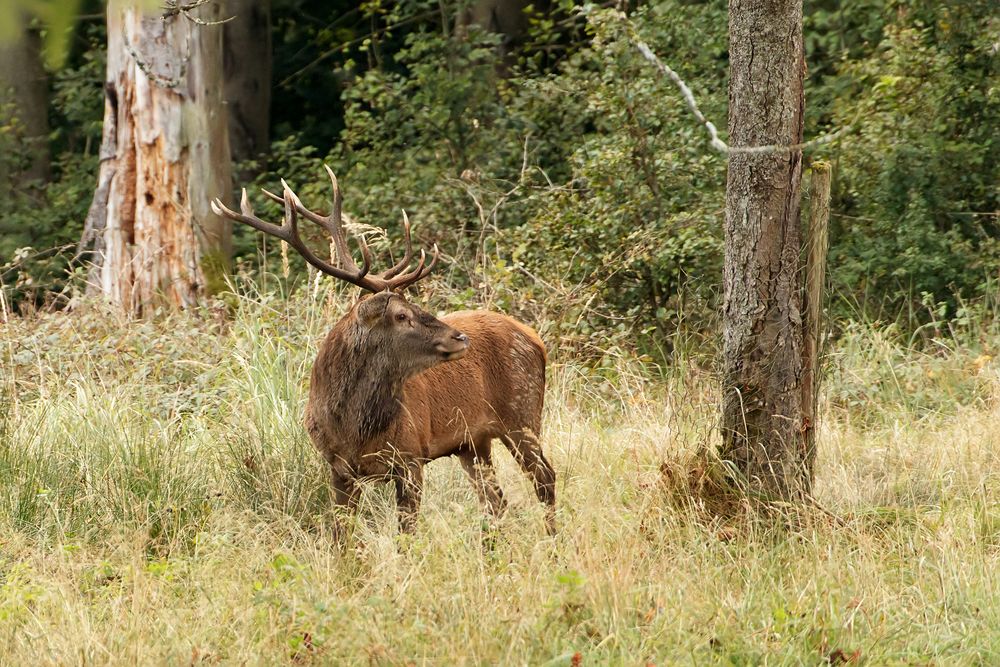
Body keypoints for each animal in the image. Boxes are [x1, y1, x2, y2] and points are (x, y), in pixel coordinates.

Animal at [211, 167, 556, 535]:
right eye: (401, 315)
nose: (461, 339)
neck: (352, 429)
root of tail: (535, 340)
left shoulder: (410, 458)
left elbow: (407, 535)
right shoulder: (339, 469)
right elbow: (342, 535)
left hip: (522, 414)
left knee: (544, 479)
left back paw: (553, 540)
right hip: (473, 442)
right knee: (495, 501)